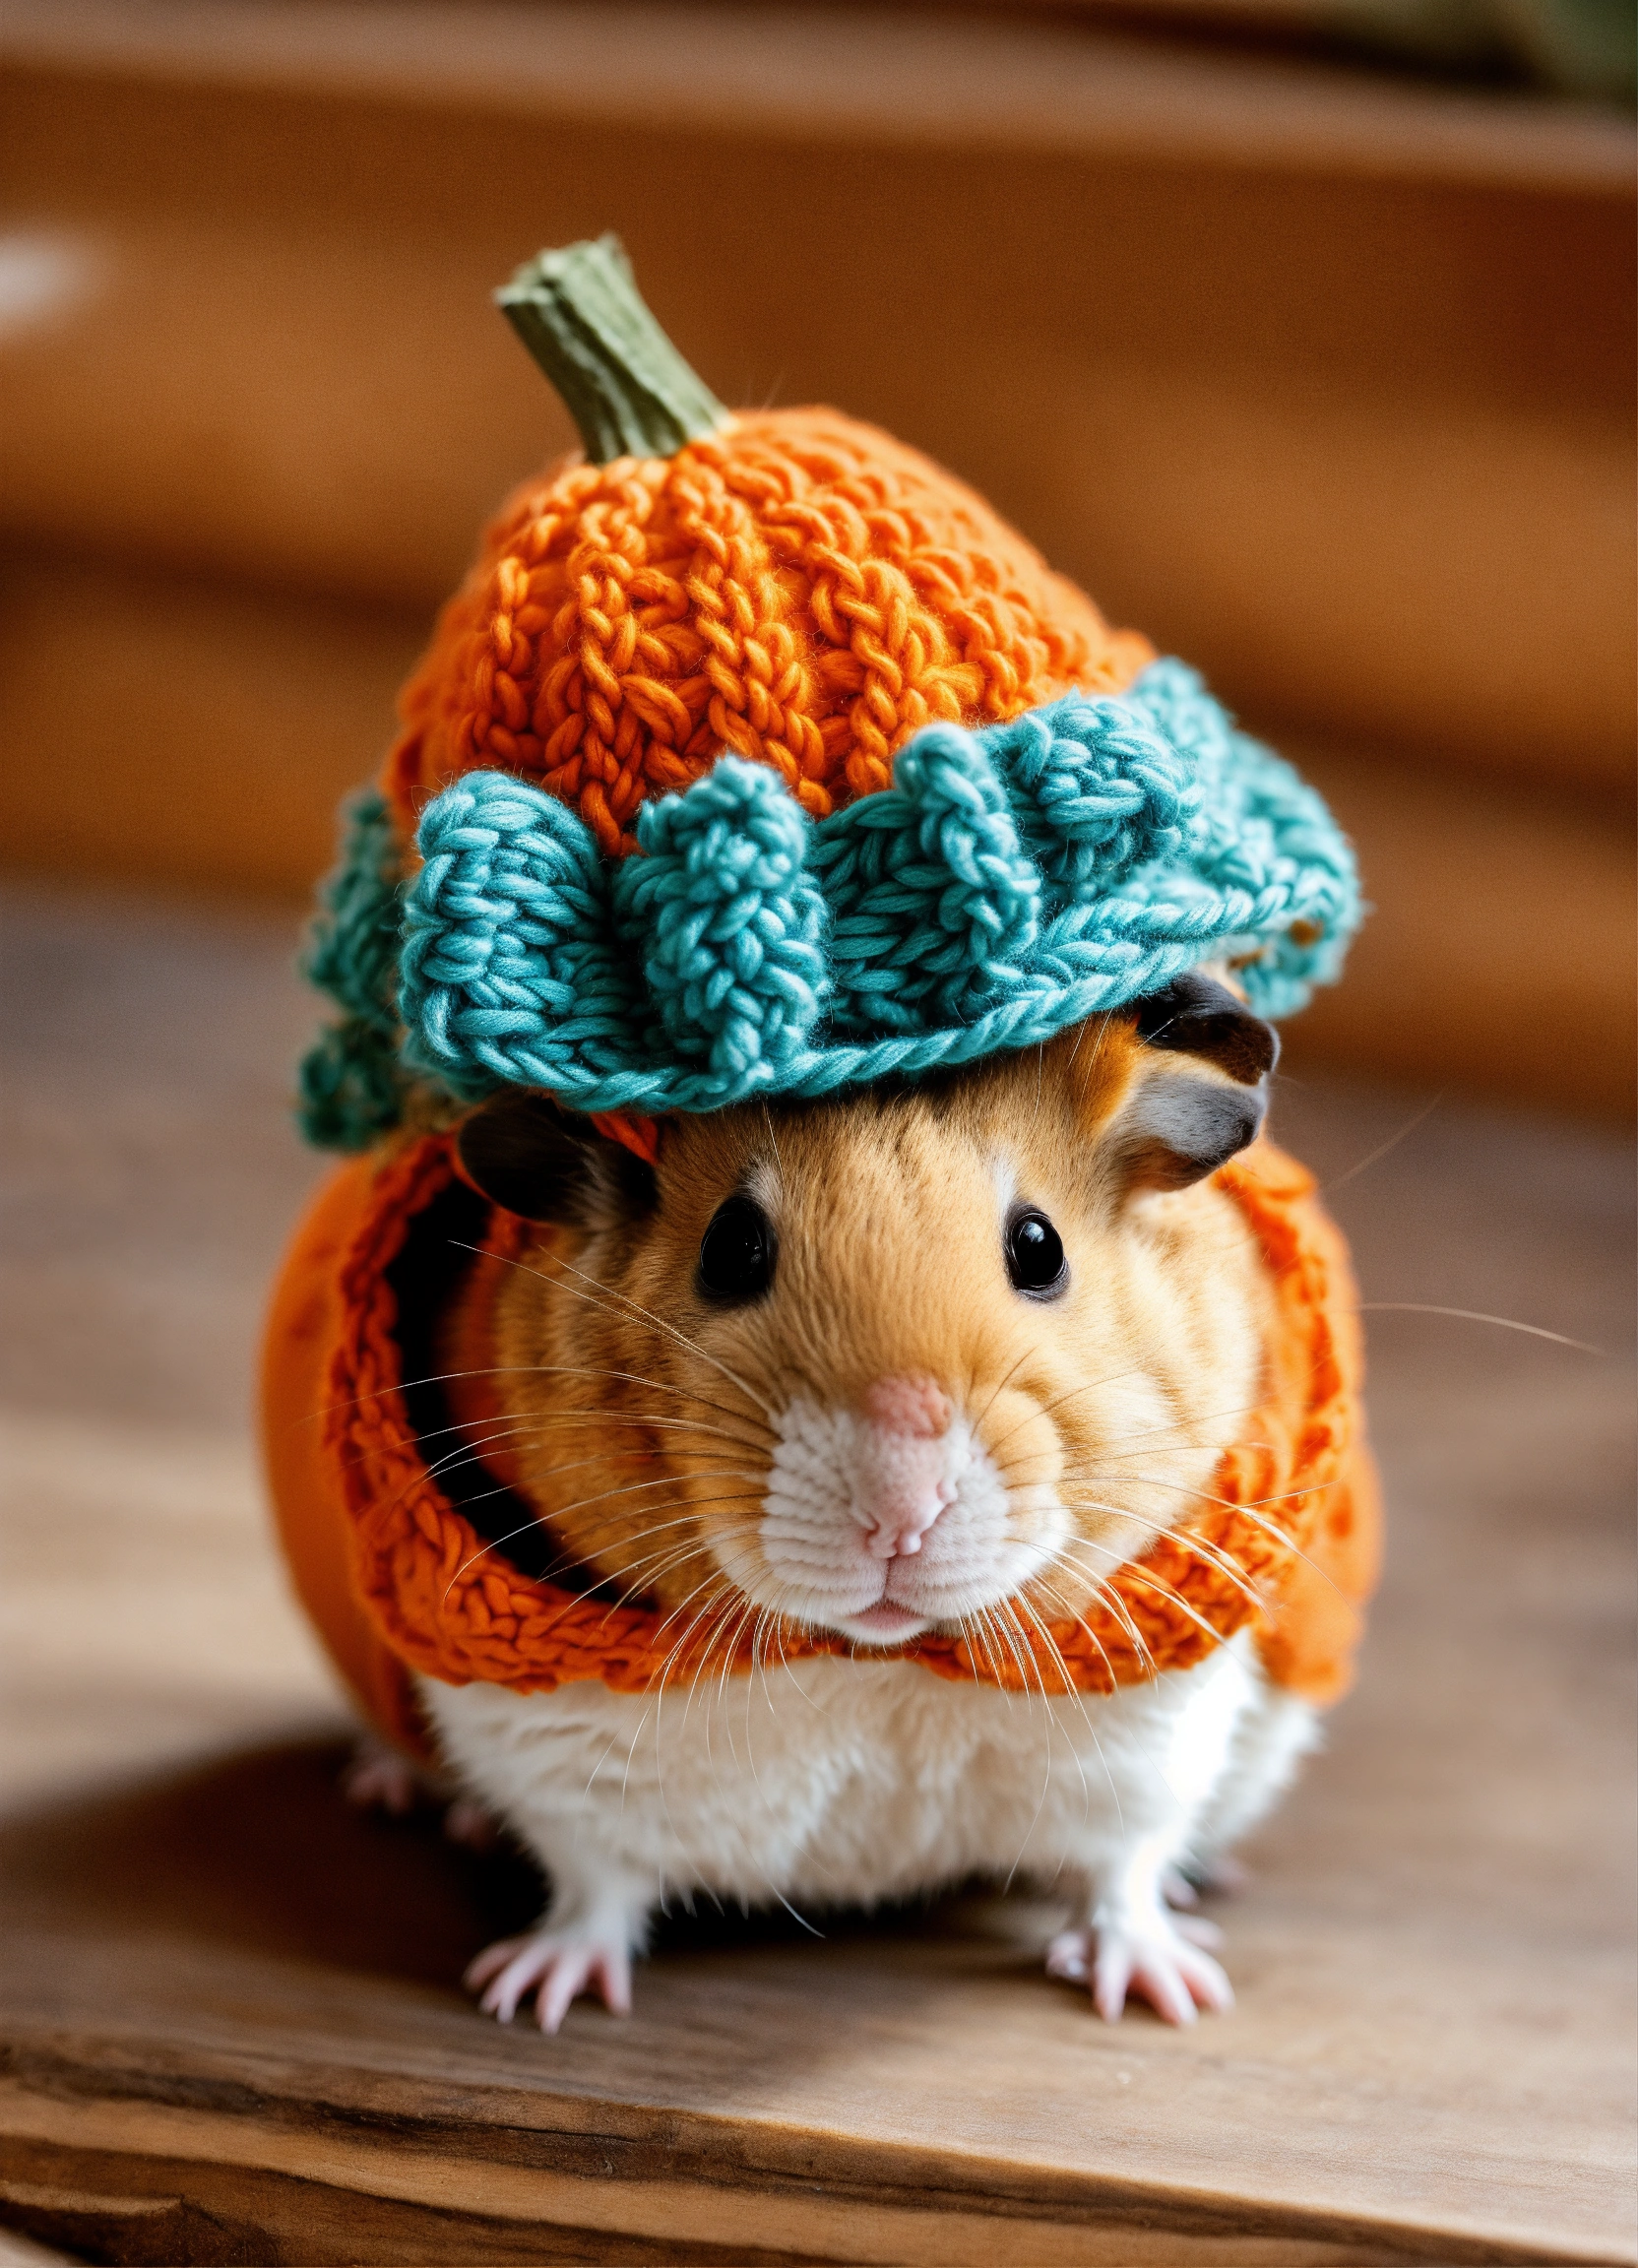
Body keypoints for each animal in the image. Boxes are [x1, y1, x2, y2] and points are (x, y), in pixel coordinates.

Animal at [415, 970, 1325, 2032]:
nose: (900, 1512)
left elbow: (1120, 1874)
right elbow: (592, 1890)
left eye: (1038, 1247)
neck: (875, 1657)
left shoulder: (1150, 1747)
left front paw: (1174, 1997)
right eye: (731, 1248)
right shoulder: (560, 1767)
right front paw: (527, 2001)